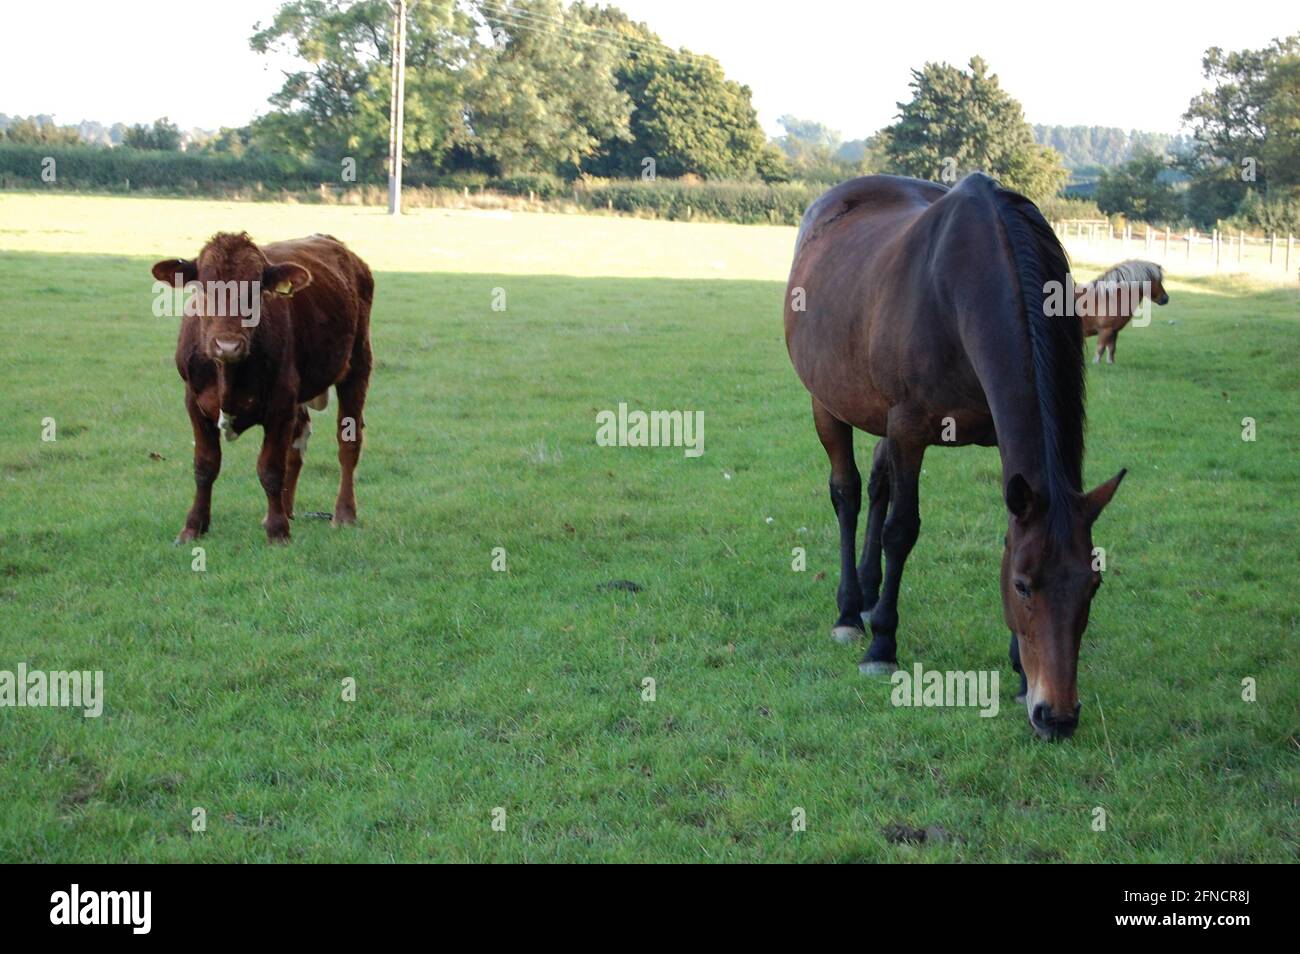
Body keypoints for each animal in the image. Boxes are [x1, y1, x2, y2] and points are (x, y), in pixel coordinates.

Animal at [152, 232, 374, 544]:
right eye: (204, 287)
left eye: (256, 290)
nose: (228, 345)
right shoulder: (194, 402)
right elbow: (205, 466)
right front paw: (194, 526)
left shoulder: (280, 404)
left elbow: (270, 469)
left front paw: (278, 532)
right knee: (298, 441)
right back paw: (285, 510)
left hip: (358, 365)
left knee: (348, 443)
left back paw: (343, 514)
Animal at [784, 173, 1126, 741]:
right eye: (1023, 587)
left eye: (1093, 585)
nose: (1057, 716)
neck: (960, 291)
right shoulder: (909, 427)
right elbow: (902, 530)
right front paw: (883, 646)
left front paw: (1018, 670)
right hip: (827, 403)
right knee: (848, 493)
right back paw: (852, 612)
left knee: (877, 486)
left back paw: (871, 594)